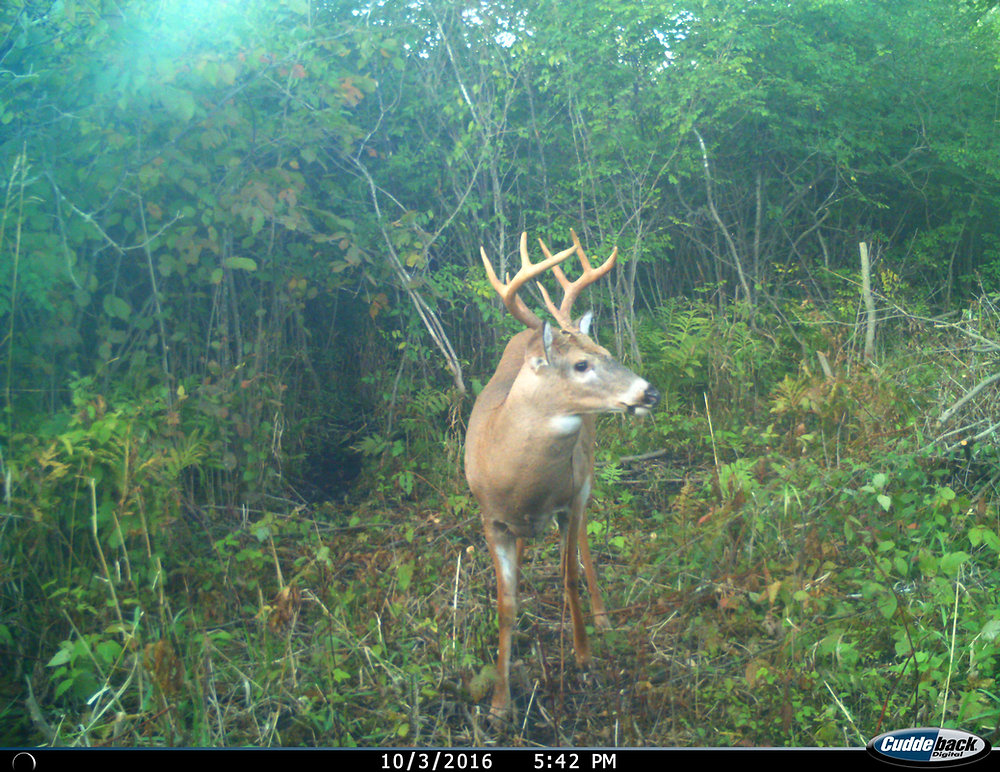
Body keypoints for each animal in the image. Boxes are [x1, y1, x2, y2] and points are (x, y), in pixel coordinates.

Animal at [464, 229, 660, 721]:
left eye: (607, 353)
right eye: (581, 365)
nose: (650, 392)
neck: (516, 479)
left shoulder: (568, 502)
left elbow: (568, 575)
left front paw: (585, 656)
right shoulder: (490, 519)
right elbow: (506, 604)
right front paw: (499, 704)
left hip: (585, 475)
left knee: (584, 543)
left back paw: (602, 616)